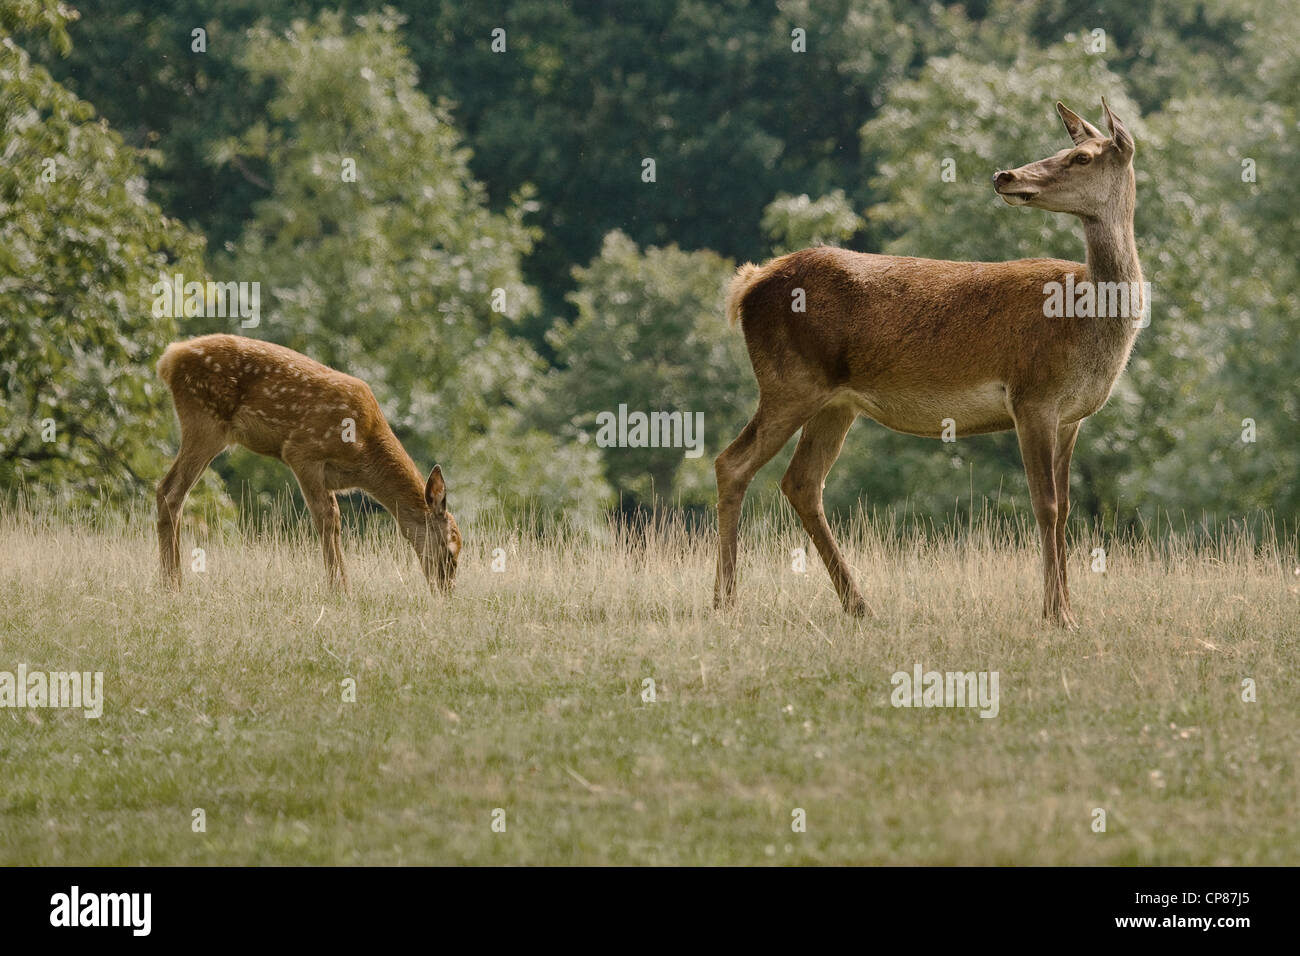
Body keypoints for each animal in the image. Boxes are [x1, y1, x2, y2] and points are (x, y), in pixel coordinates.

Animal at [155, 334, 461, 592]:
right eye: (451, 551)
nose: (445, 591)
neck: (365, 457)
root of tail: (169, 357)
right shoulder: (303, 451)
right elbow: (326, 519)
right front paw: (340, 589)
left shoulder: (329, 477)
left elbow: (334, 518)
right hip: (204, 420)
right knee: (170, 491)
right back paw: (173, 584)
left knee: (171, 492)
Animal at [715, 99, 1143, 628]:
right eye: (1068, 150)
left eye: (1081, 156)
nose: (1004, 175)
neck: (1086, 325)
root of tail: (746, 287)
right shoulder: (1032, 397)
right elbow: (1044, 504)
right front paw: (1057, 614)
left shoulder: (1070, 416)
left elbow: (1064, 507)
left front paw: (1064, 608)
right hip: (787, 382)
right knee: (732, 463)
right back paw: (724, 600)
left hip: (835, 401)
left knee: (802, 482)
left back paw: (859, 603)